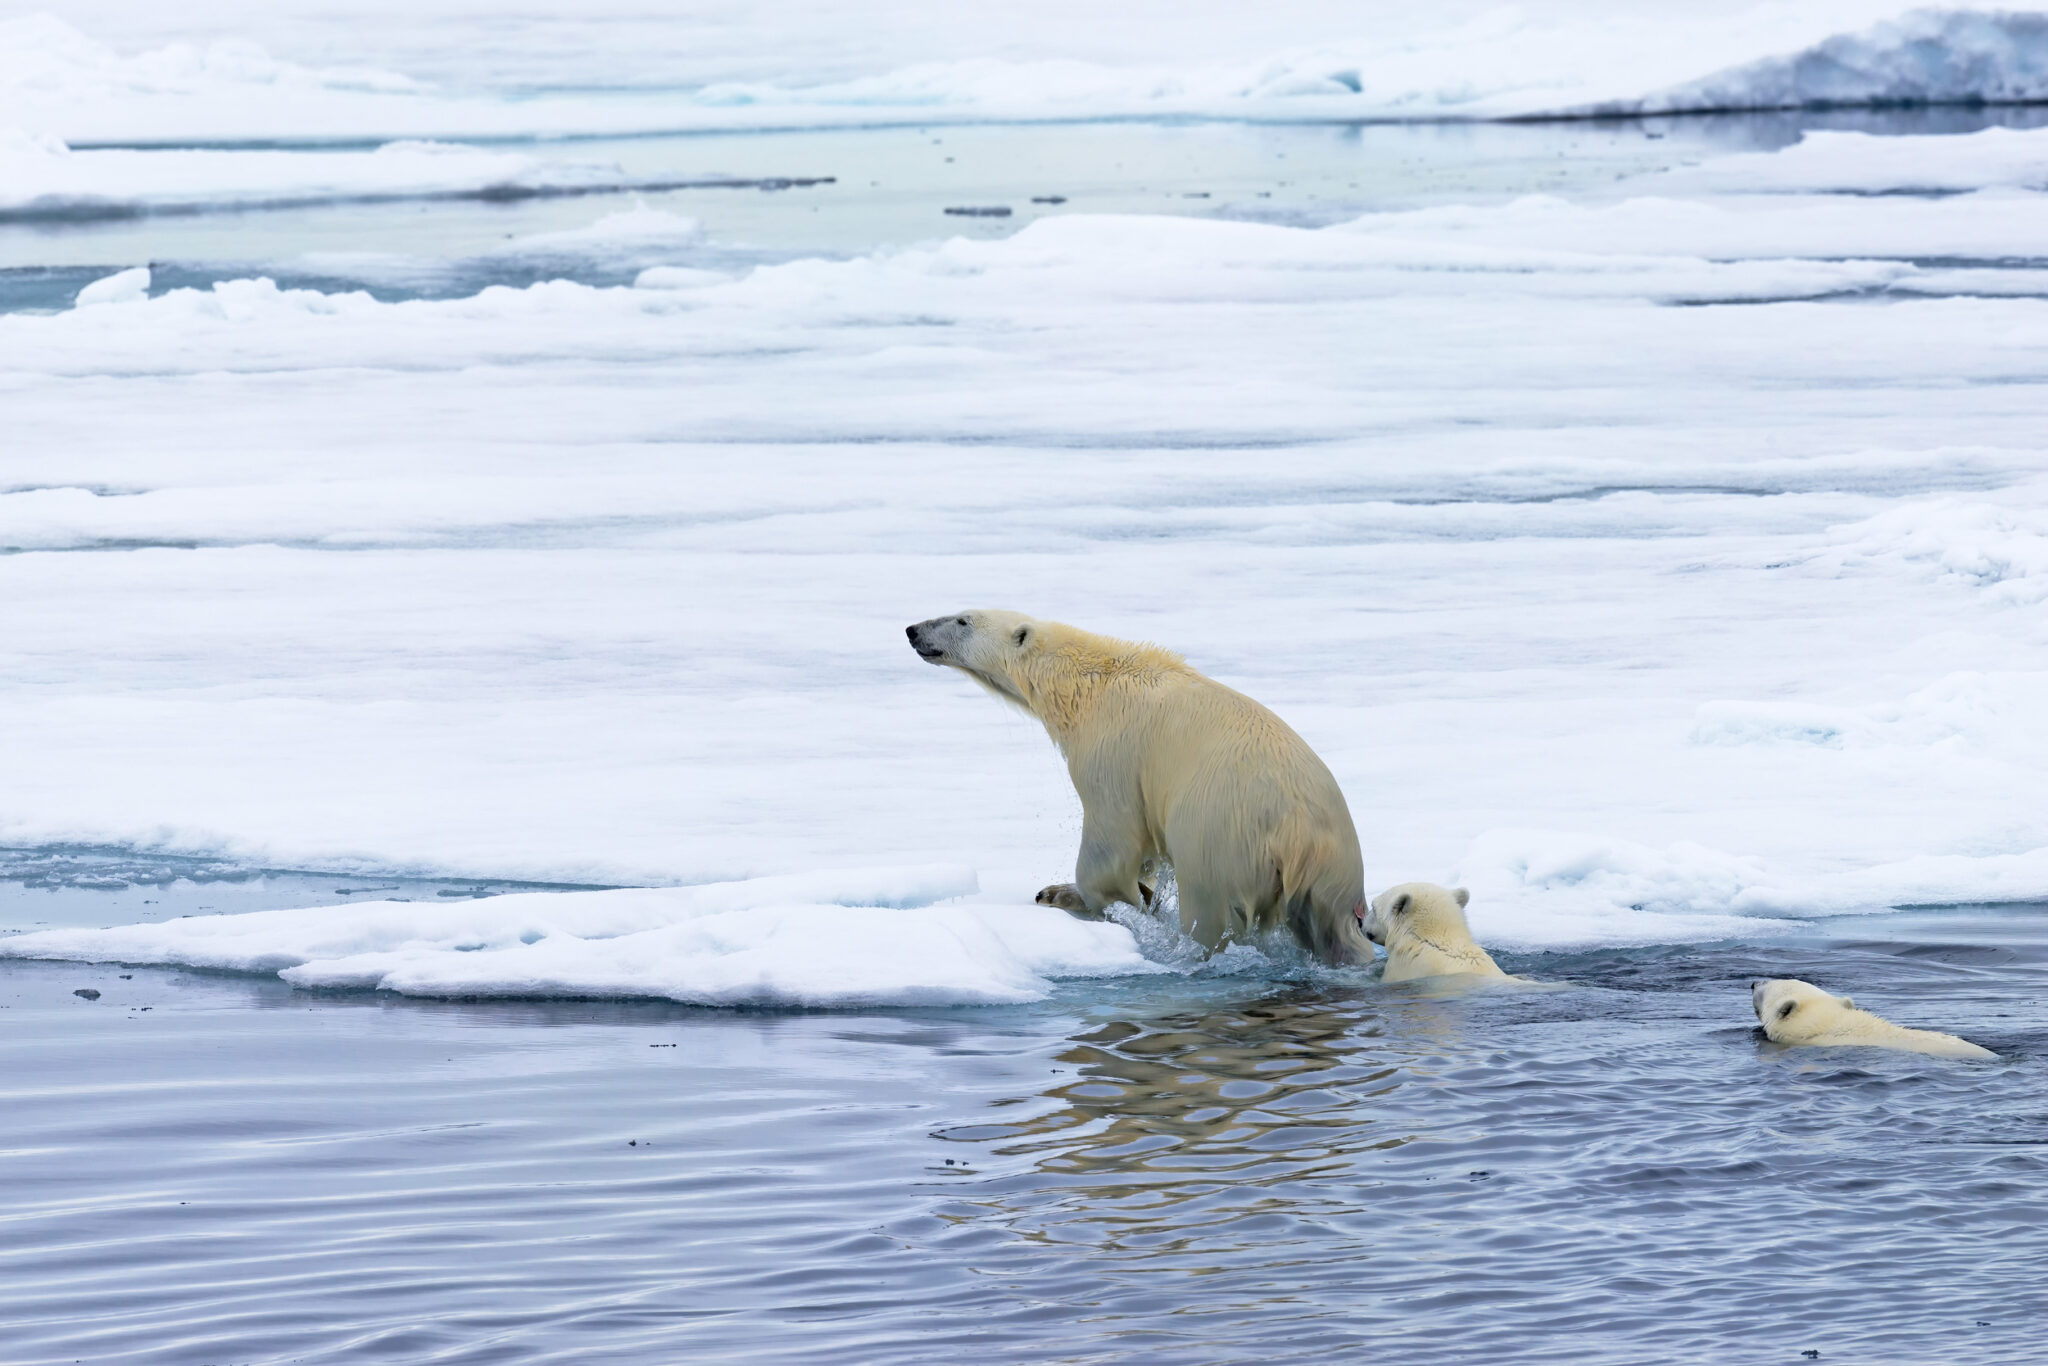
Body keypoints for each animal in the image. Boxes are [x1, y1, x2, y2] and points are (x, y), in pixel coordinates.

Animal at [905, 610, 1370, 964]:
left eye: (962, 619)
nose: (913, 630)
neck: (1086, 685)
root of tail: (1299, 836)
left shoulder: (1112, 751)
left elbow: (1113, 840)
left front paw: (1072, 894)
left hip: (1221, 839)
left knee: (1209, 913)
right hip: (1336, 869)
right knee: (1334, 930)